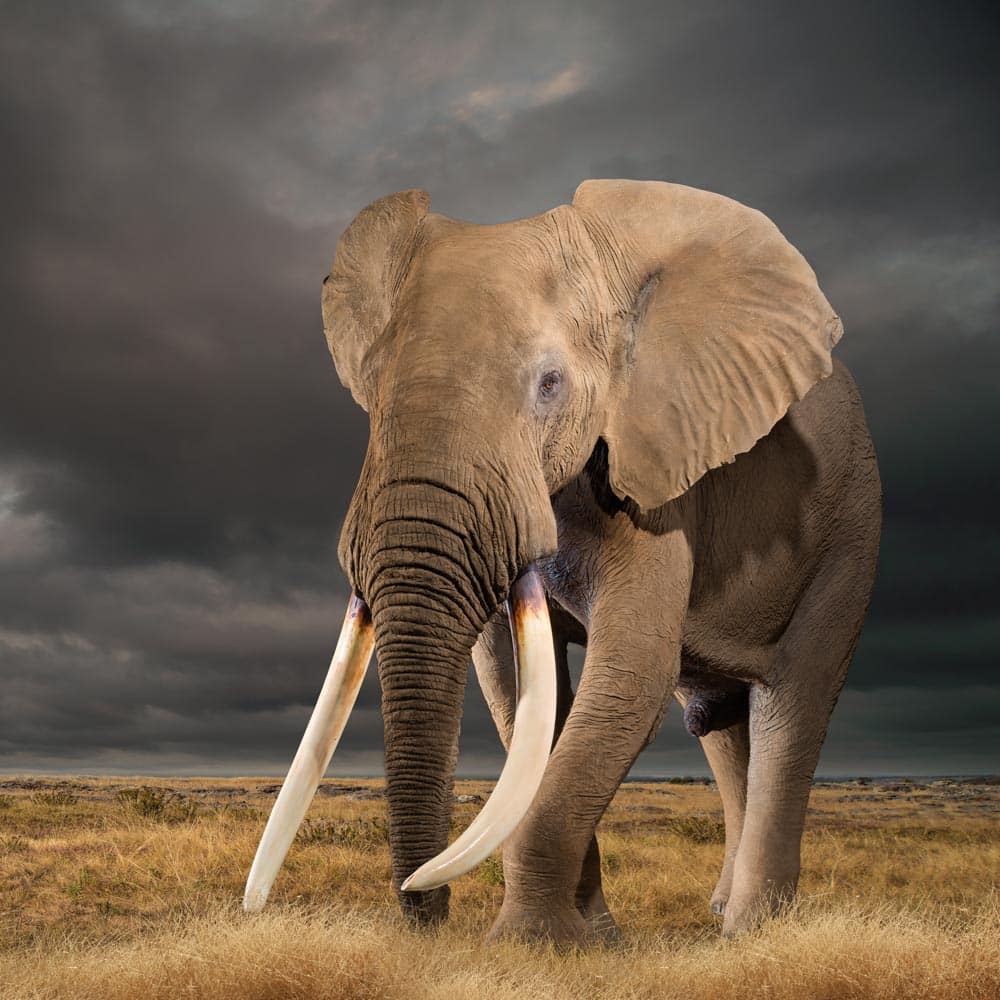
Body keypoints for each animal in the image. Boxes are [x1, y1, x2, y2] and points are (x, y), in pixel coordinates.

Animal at [243, 179, 881, 945]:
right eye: (371, 394)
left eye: (549, 384)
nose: (425, 909)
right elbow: (513, 687)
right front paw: (592, 939)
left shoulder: (659, 472)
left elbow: (630, 674)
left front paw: (532, 945)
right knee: (723, 725)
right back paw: (723, 915)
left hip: (850, 528)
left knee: (793, 703)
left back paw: (751, 931)